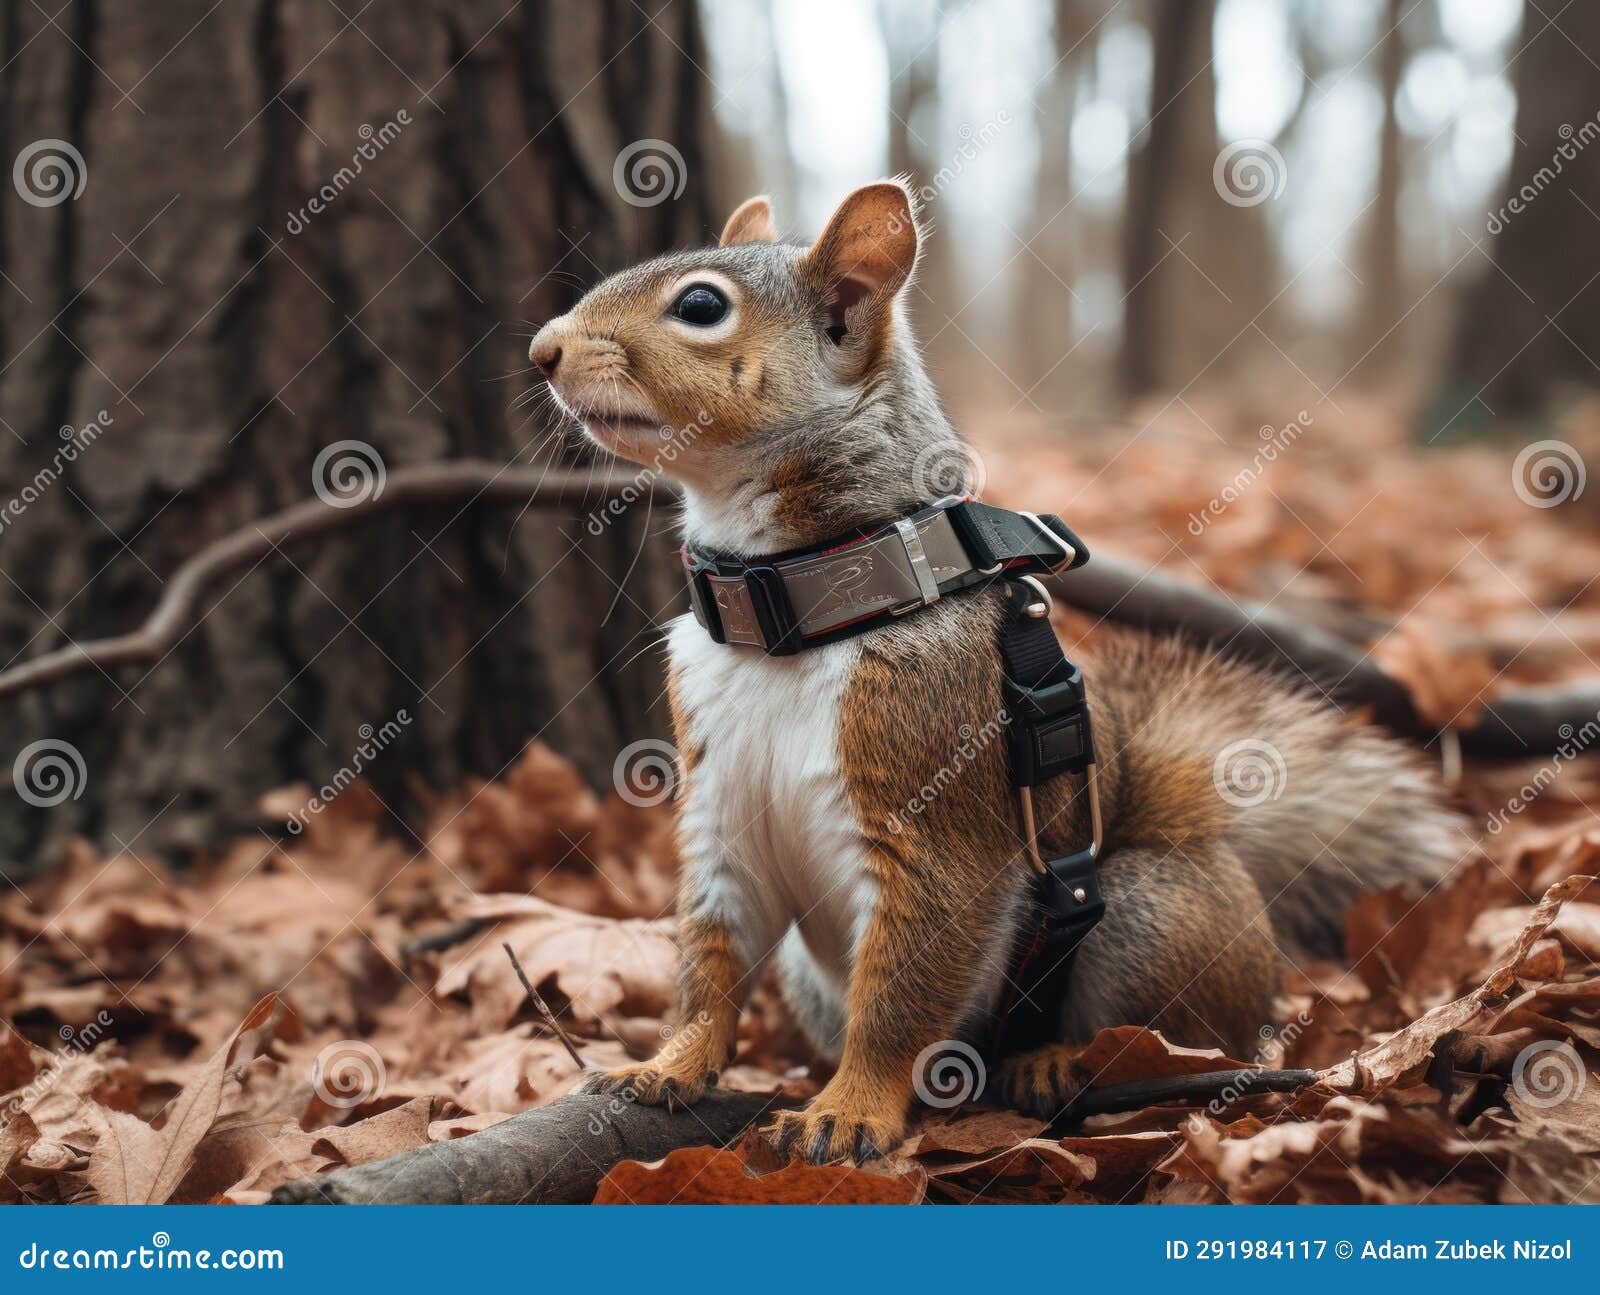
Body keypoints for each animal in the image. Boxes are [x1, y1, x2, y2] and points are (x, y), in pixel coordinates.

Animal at [529, 180, 1465, 1165]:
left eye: (703, 306)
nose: (542, 349)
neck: (789, 610)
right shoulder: (721, 813)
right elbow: (708, 962)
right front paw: (666, 1063)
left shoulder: (932, 806)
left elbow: (897, 995)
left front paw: (848, 1111)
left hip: (1152, 924)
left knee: (1185, 1035)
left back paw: (1056, 1059)